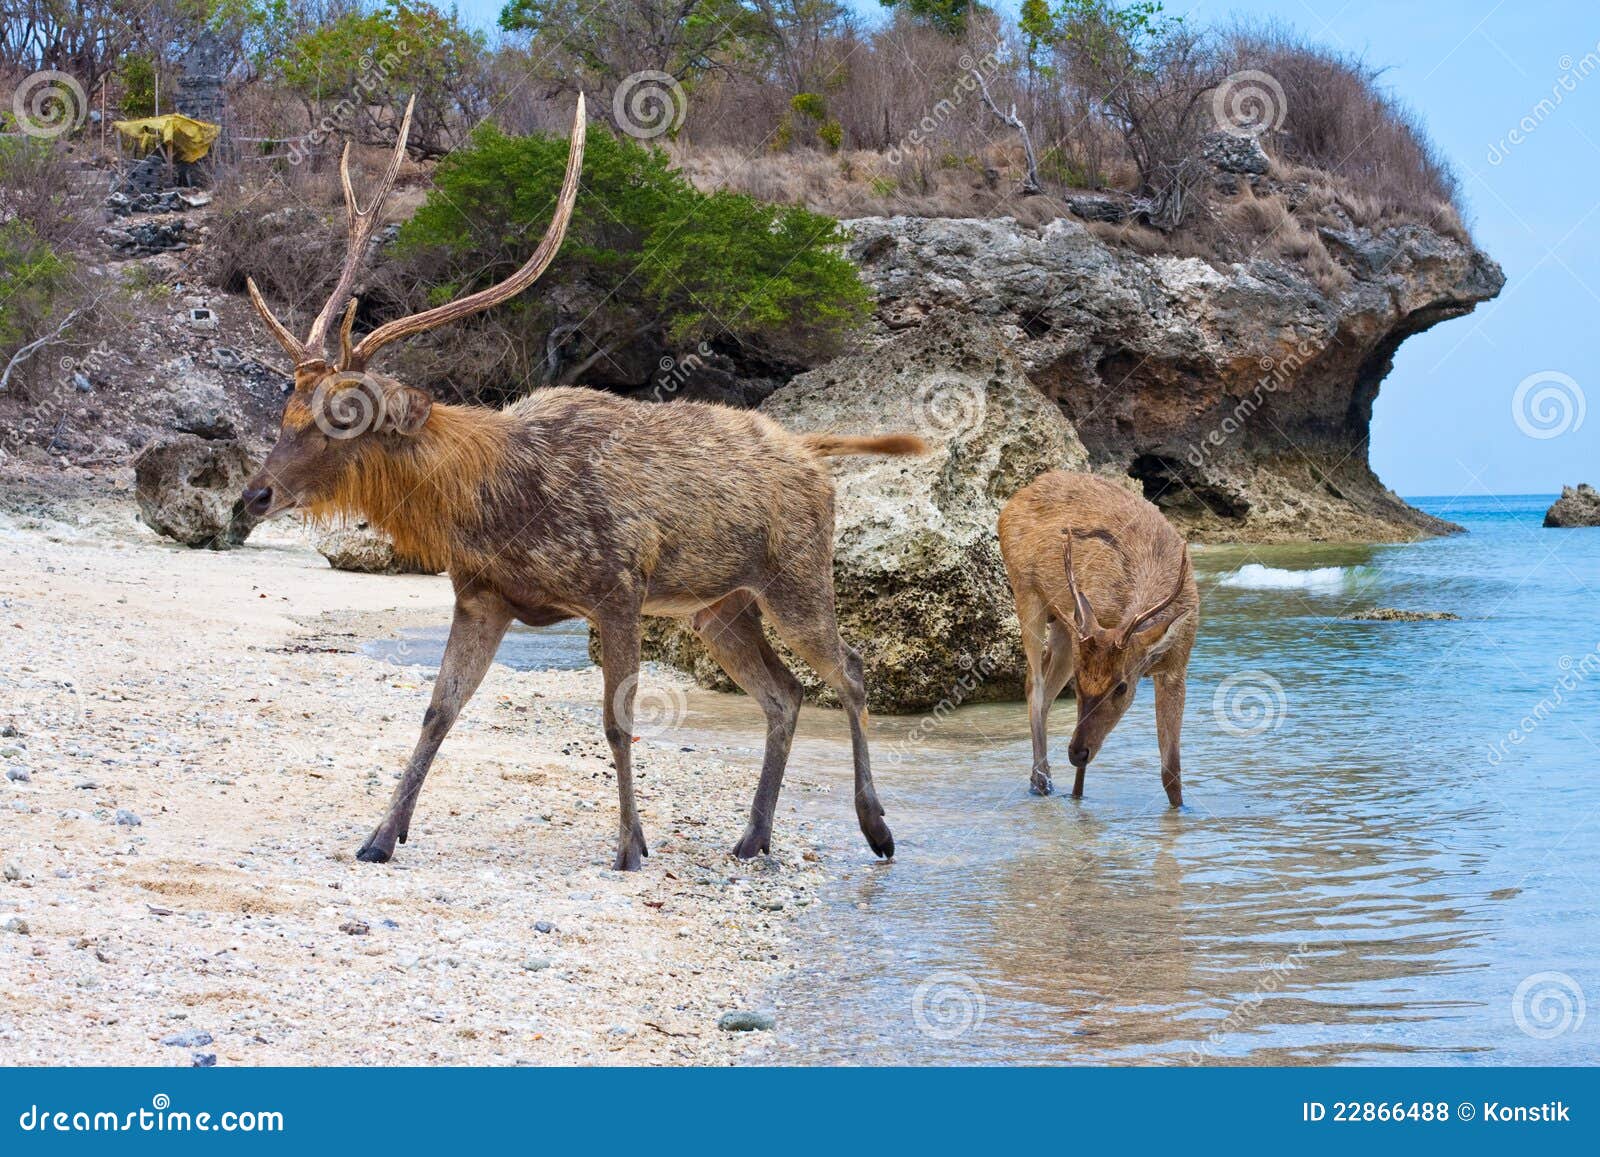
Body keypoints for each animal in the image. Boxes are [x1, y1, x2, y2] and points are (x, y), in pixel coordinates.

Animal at [235, 95, 927, 870]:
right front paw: (380, 836)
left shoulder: (619, 587)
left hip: (798, 577)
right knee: (785, 694)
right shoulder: (482, 596)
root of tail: (813, 452)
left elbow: (616, 722)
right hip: (720, 606)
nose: (254, 495)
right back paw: (752, 837)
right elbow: (439, 708)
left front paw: (629, 847)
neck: (497, 506)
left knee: (852, 671)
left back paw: (877, 828)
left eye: (343, 415)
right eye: (286, 406)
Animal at [997, 472, 1199, 805]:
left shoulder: (1177, 665)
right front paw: (1076, 796)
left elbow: (1171, 772)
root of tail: (1019, 495)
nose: (1076, 752)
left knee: (1045, 689)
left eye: (1122, 687)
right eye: (1079, 683)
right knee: (1035, 686)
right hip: (1026, 591)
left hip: (1066, 627)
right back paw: (1042, 782)